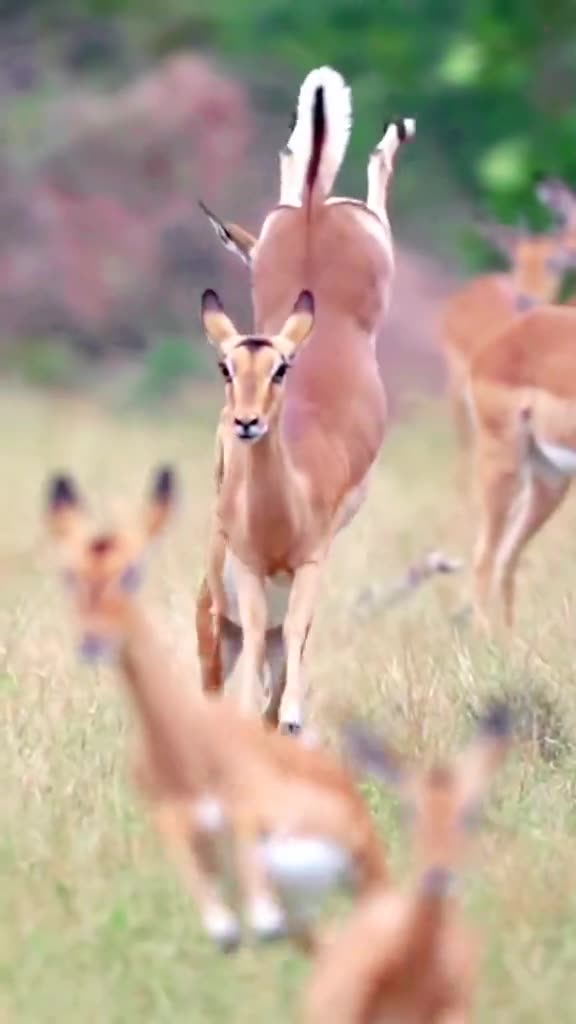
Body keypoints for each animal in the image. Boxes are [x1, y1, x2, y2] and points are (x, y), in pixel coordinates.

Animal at [195, 66, 415, 734]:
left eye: (282, 368)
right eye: (226, 366)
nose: (246, 423)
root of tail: (317, 213)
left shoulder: (314, 560)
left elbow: (292, 628)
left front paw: (291, 712)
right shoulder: (249, 566)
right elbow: (261, 632)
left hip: (379, 241)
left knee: (362, 172)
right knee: (304, 163)